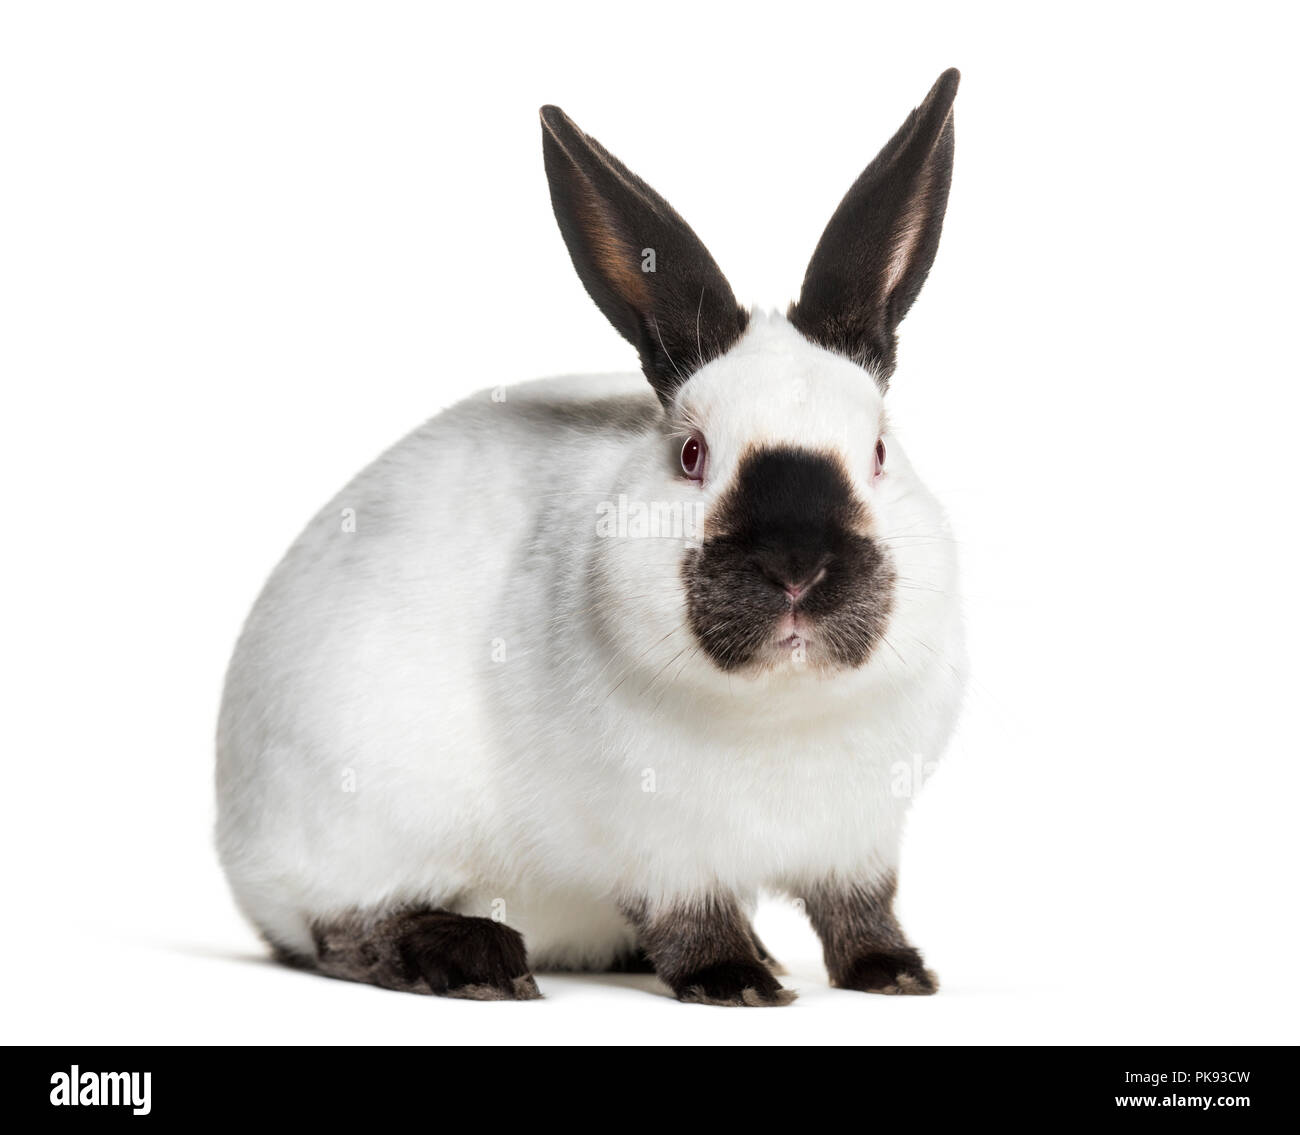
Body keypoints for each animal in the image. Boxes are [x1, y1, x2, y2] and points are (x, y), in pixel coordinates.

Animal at [216, 68, 966, 1006]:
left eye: (878, 450)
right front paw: (733, 981)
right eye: (691, 453)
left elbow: (859, 909)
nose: (797, 568)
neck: (780, 710)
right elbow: (689, 916)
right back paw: (475, 959)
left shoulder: (859, 840)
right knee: (336, 930)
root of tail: (235, 837)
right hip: (353, 818)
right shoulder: (655, 842)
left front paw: (894, 973)